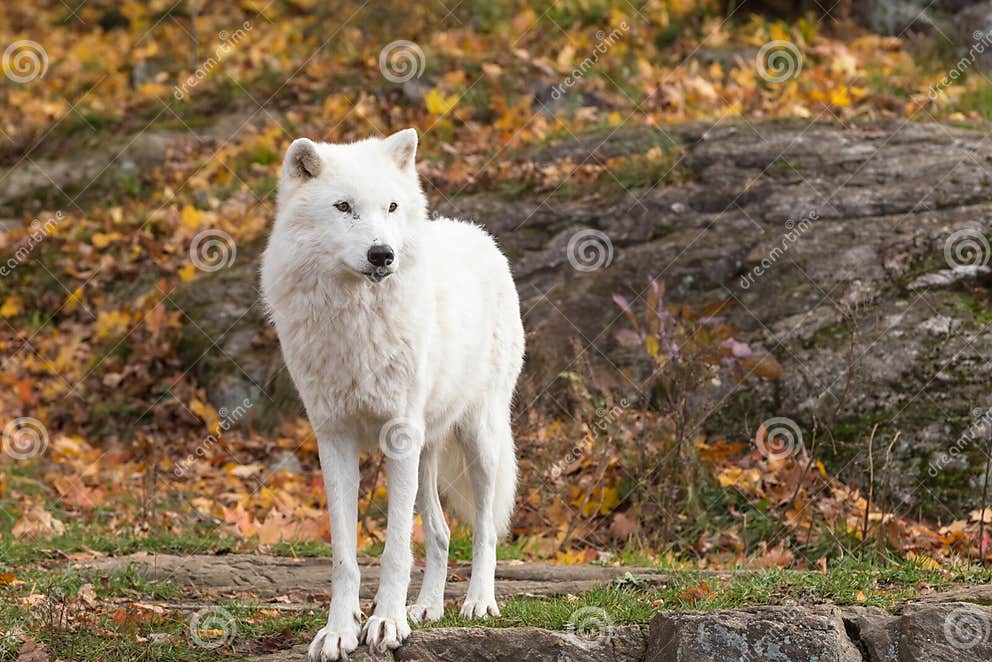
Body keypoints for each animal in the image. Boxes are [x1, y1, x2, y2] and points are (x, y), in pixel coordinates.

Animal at [260, 128, 525, 661]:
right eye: (344, 207)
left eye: (392, 206)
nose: (383, 254)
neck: (356, 319)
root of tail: (477, 234)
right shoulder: (334, 439)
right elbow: (345, 555)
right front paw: (339, 631)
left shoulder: (399, 436)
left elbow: (396, 548)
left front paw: (385, 624)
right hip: (427, 452)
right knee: (441, 533)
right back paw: (427, 609)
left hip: (479, 439)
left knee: (485, 529)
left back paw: (477, 603)